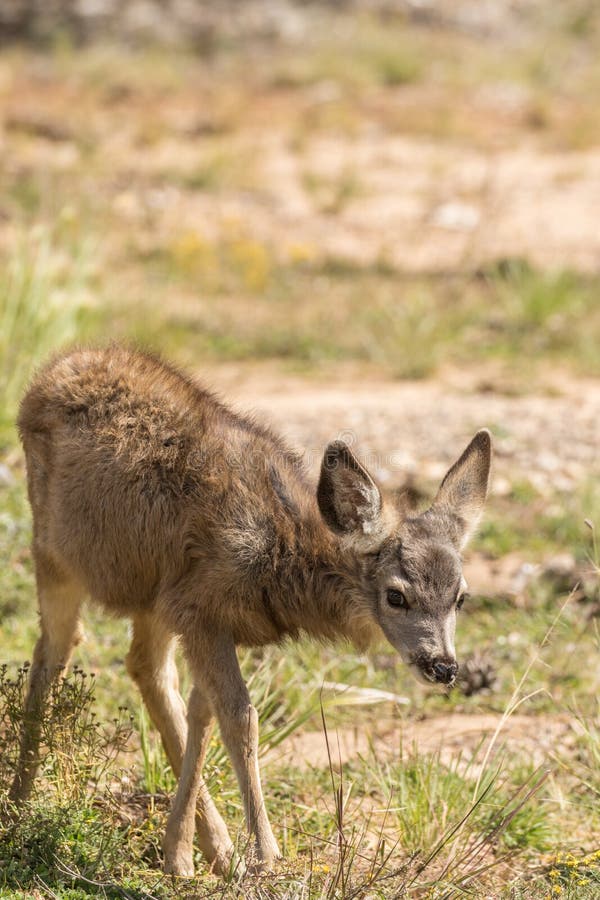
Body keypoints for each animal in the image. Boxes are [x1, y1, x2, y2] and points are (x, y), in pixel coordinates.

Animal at [8, 344, 491, 877]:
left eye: (461, 596)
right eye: (396, 595)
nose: (443, 666)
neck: (281, 552)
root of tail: (55, 368)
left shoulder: (197, 614)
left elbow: (203, 711)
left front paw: (192, 852)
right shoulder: (198, 609)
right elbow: (240, 717)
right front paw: (265, 852)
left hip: (151, 591)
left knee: (146, 669)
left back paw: (207, 848)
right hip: (53, 552)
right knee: (53, 653)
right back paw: (20, 809)